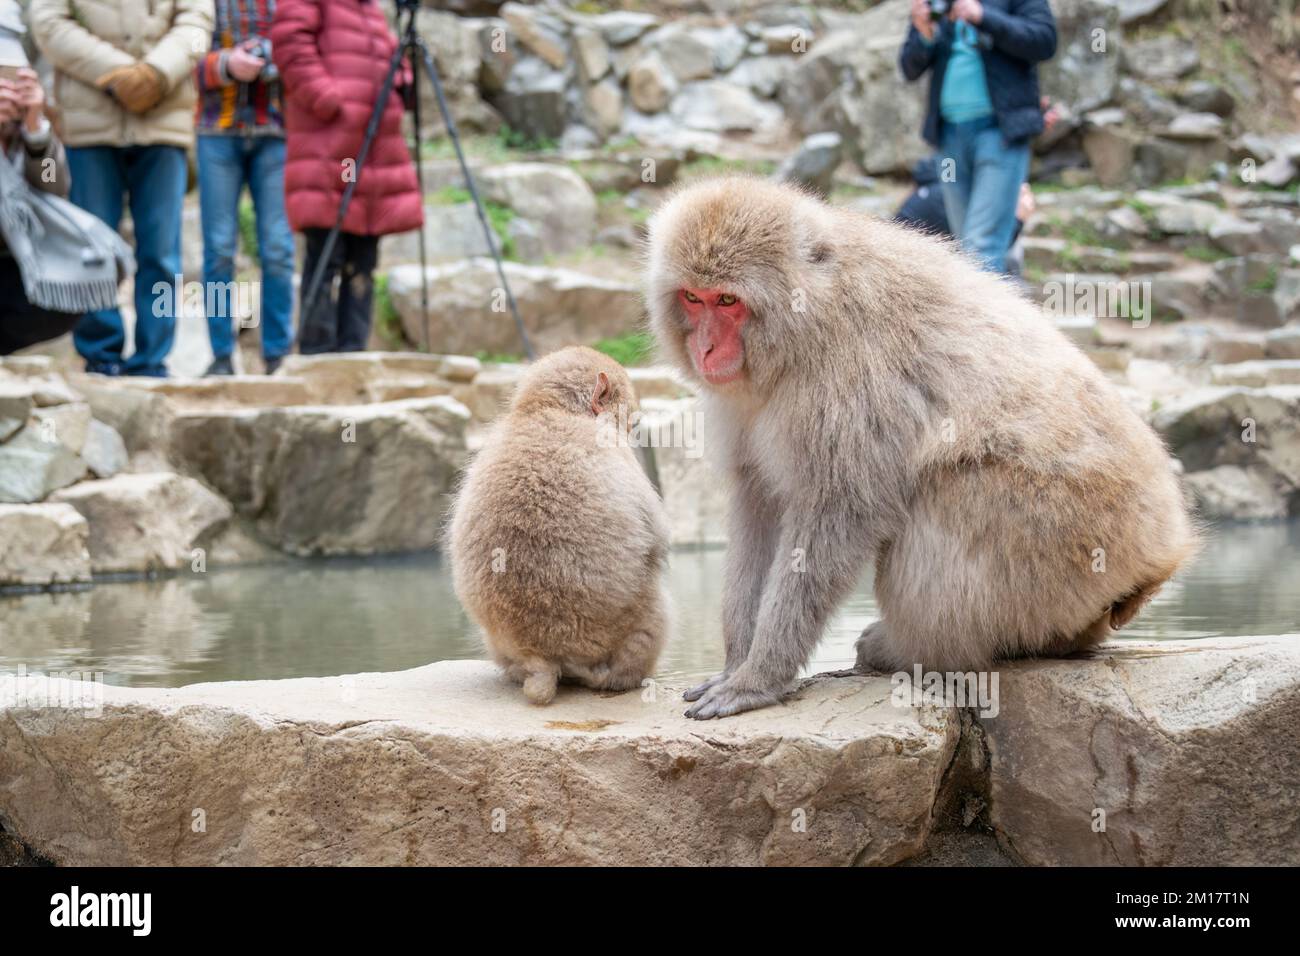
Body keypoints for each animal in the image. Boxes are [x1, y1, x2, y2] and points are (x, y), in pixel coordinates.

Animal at [447, 346, 671, 705]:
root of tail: (541, 657)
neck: (546, 409)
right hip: (624, 637)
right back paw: (629, 680)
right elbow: (656, 540)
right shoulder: (617, 453)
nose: (631, 432)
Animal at [645, 176, 1198, 719]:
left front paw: (760, 677)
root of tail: (1161, 554)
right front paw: (735, 663)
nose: (705, 349)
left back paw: (913, 651)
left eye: (728, 302)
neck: (807, 322)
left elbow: (838, 513)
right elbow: (758, 502)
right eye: (693, 297)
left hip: (1073, 541)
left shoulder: (850, 375)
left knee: (947, 494)